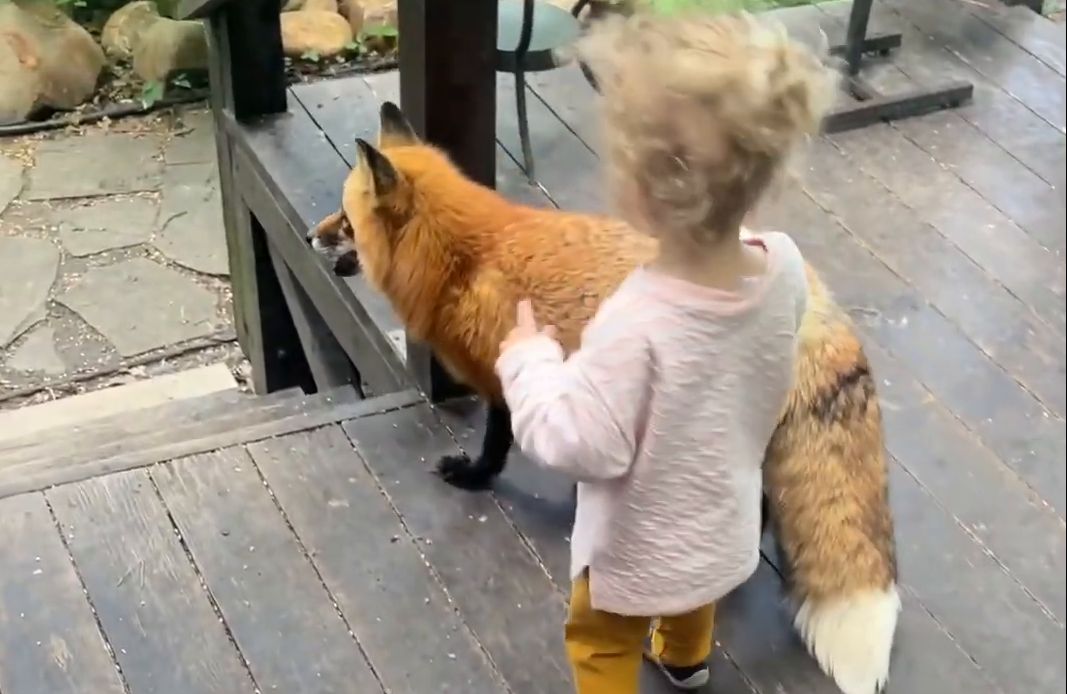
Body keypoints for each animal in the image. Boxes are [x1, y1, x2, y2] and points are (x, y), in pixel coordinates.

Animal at [309, 102, 900, 694]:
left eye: (345, 219)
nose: (313, 236)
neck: (468, 259)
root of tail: (818, 305)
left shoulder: (511, 382)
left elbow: (497, 445)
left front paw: (476, 477)